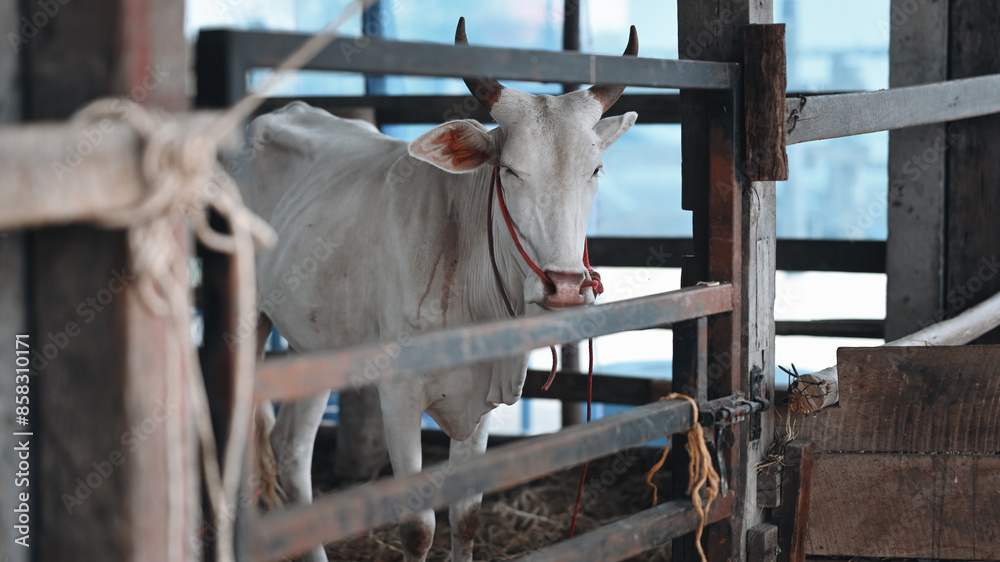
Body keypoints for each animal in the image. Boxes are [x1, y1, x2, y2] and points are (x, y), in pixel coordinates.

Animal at [249, 18, 638, 562]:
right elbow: (417, 527)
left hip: (315, 344)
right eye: (510, 170)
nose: (563, 286)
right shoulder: (399, 395)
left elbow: (466, 515)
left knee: (291, 449)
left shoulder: (482, 397)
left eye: (596, 169)